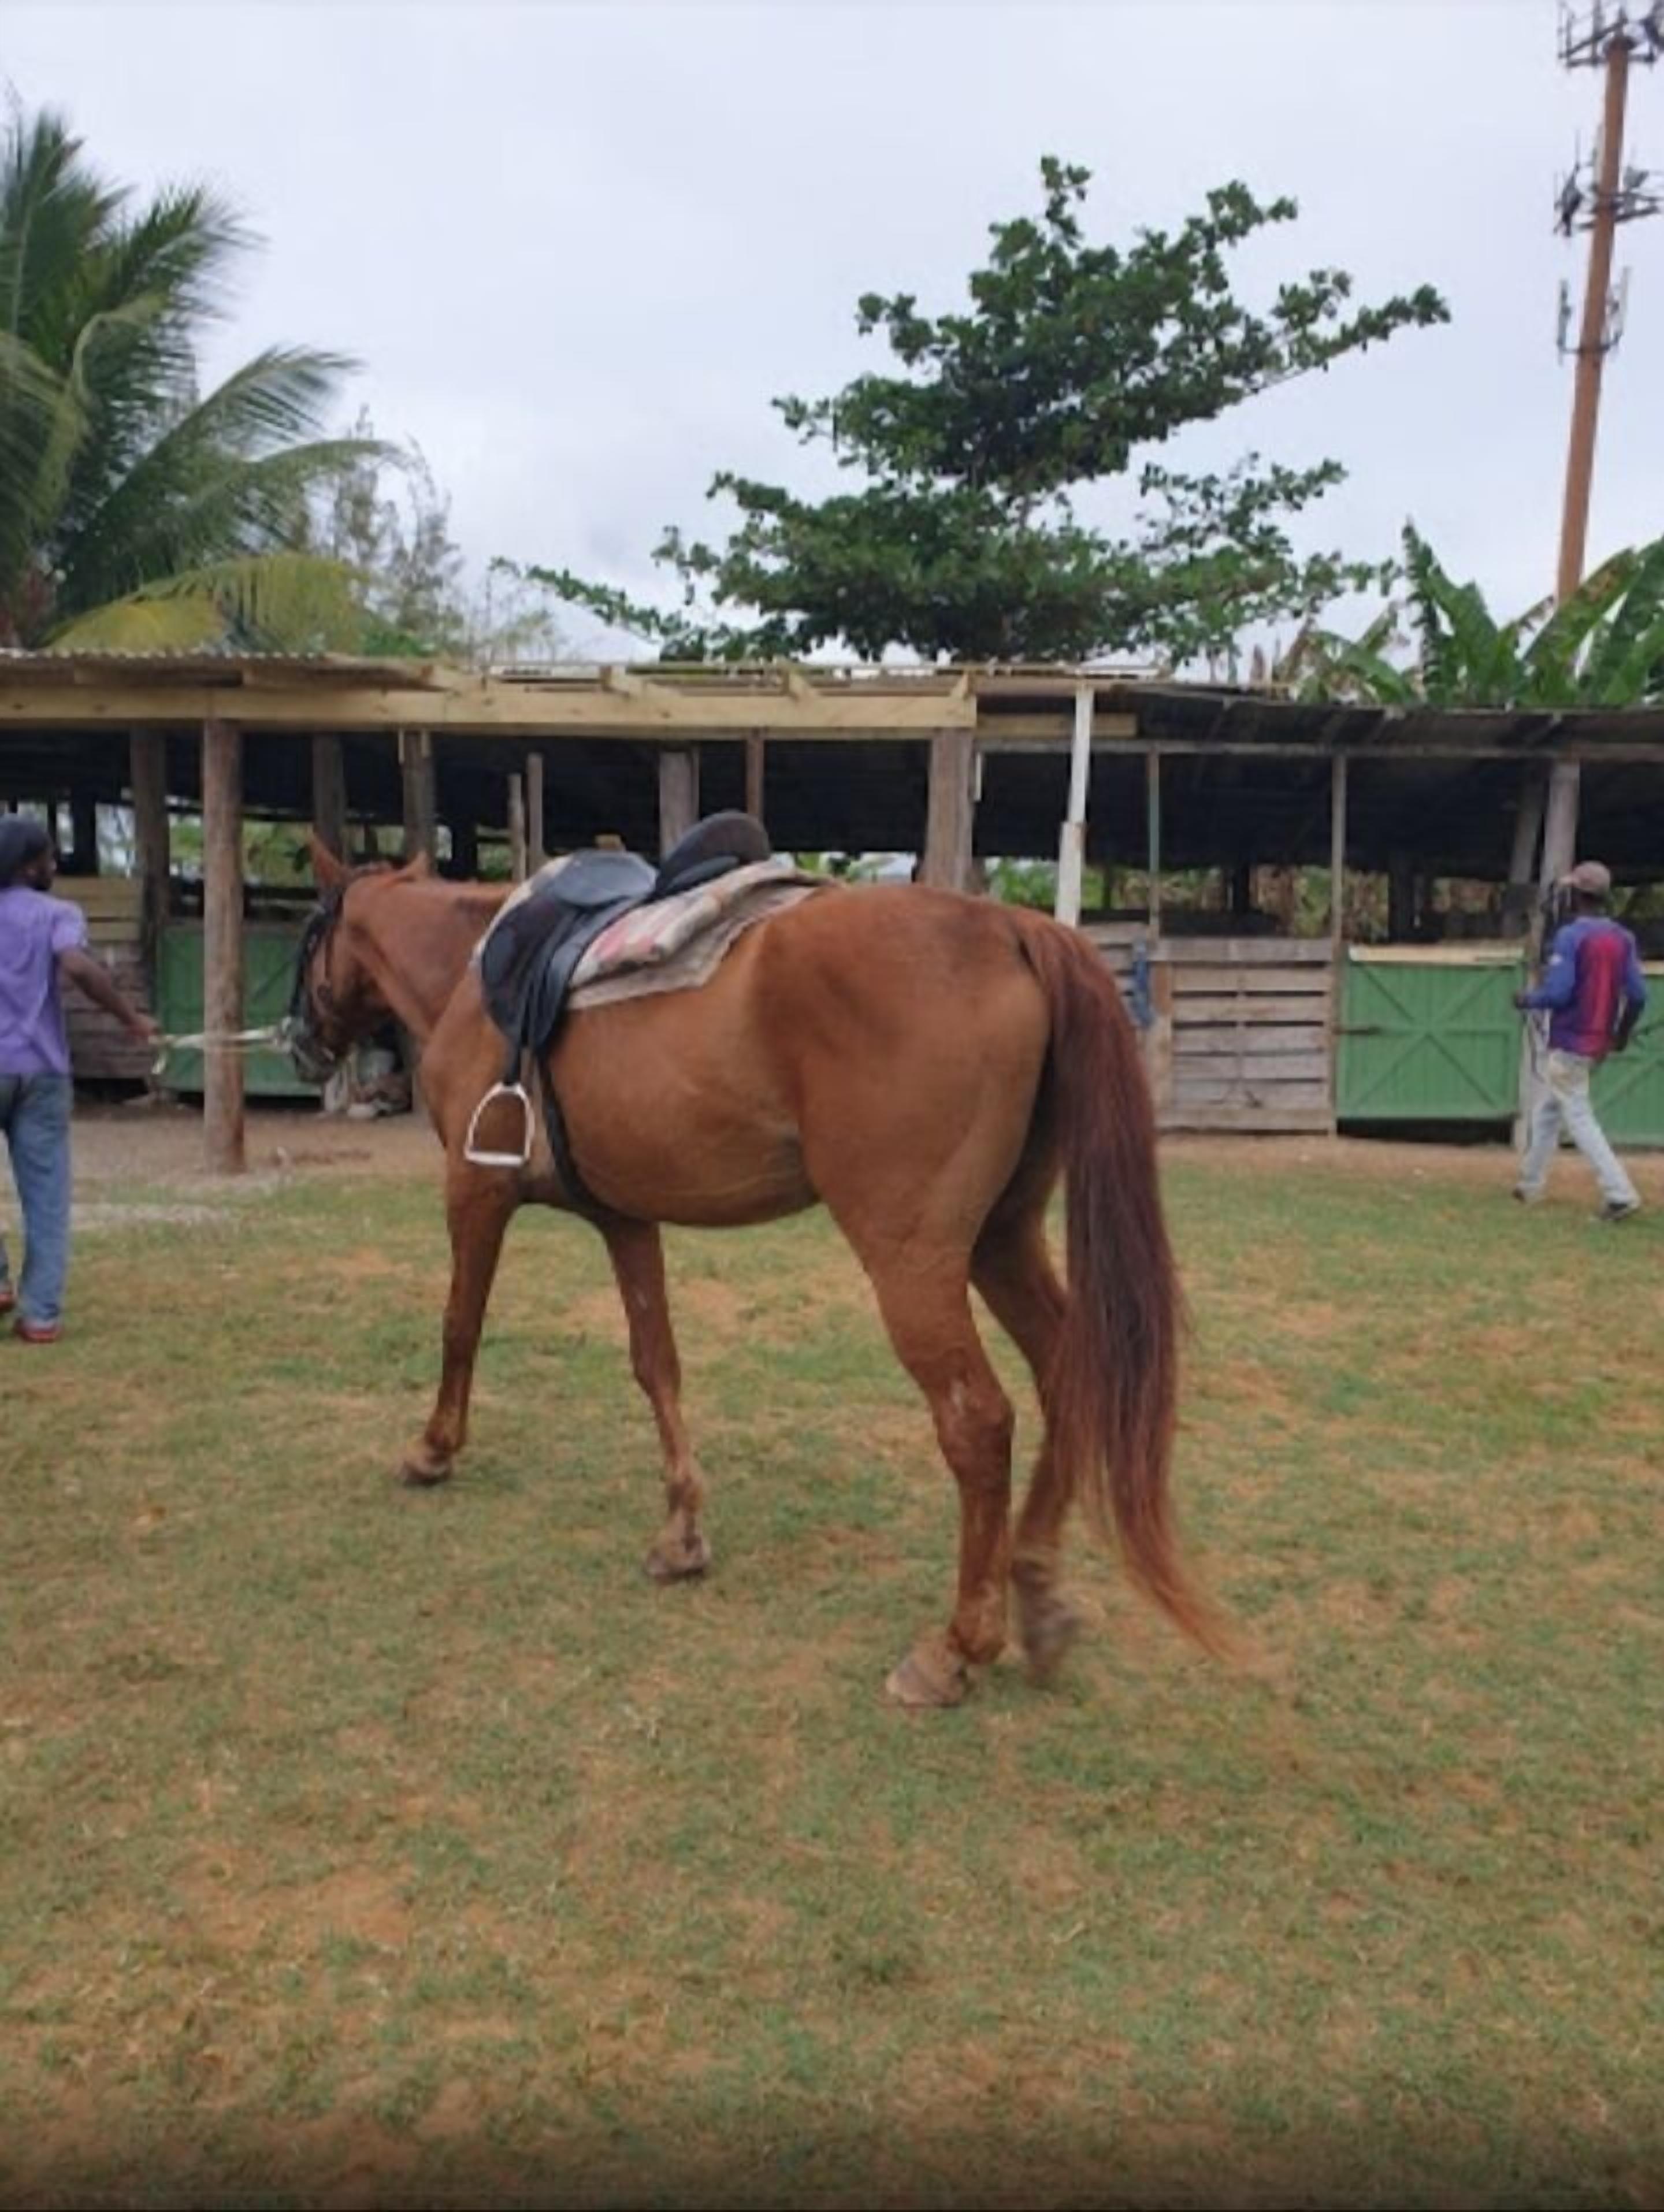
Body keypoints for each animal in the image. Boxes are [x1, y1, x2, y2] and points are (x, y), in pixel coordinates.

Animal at [289, 836, 1220, 1706]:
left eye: (307, 933)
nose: (300, 1046)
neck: (476, 971)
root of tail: (1012, 929)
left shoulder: (475, 1191)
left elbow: (460, 1326)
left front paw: (432, 1451)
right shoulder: (624, 1218)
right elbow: (656, 1364)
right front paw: (681, 1534)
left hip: (913, 1261)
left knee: (978, 1422)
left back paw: (958, 1646)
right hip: (1003, 1239)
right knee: (1067, 1374)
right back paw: (1038, 1596)